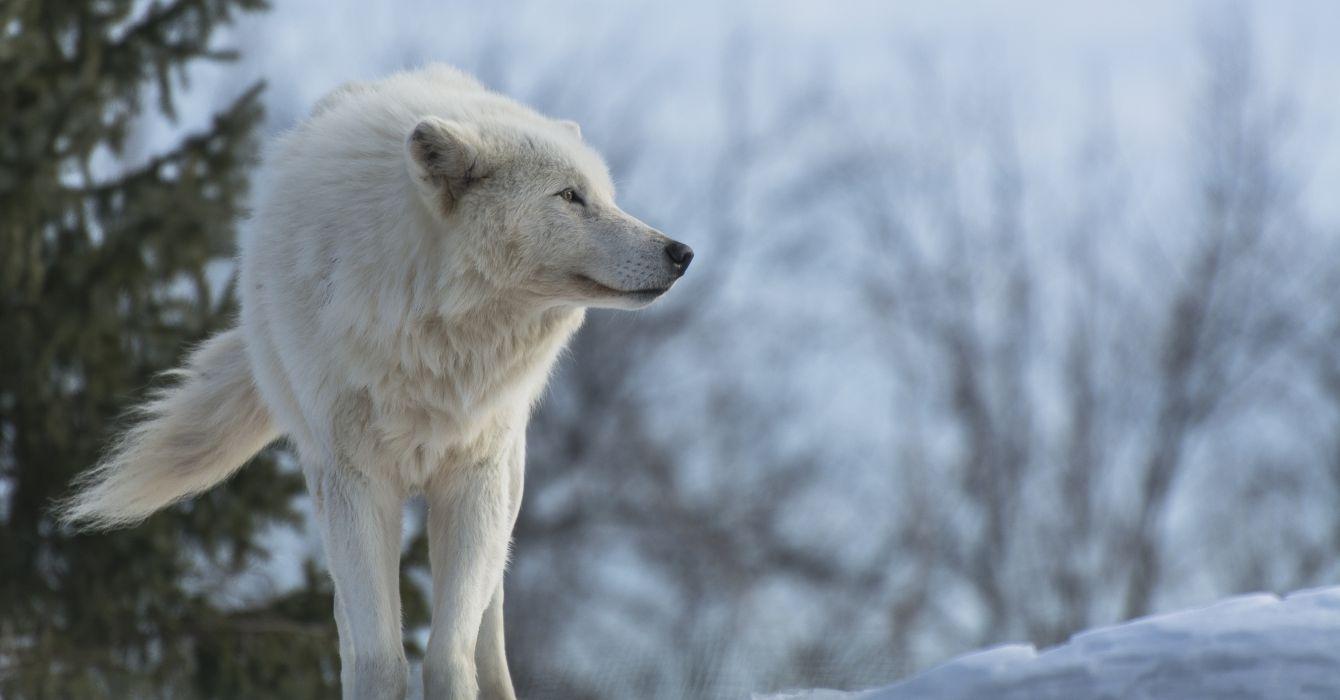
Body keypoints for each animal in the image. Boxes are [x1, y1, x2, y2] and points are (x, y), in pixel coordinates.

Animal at [59, 64, 693, 699]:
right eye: (569, 196)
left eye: (605, 196)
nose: (682, 252)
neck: (434, 330)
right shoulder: (355, 481)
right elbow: (379, 658)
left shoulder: (474, 478)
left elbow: (450, 653)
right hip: (327, 490)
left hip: (506, 482)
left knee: (490, 614)